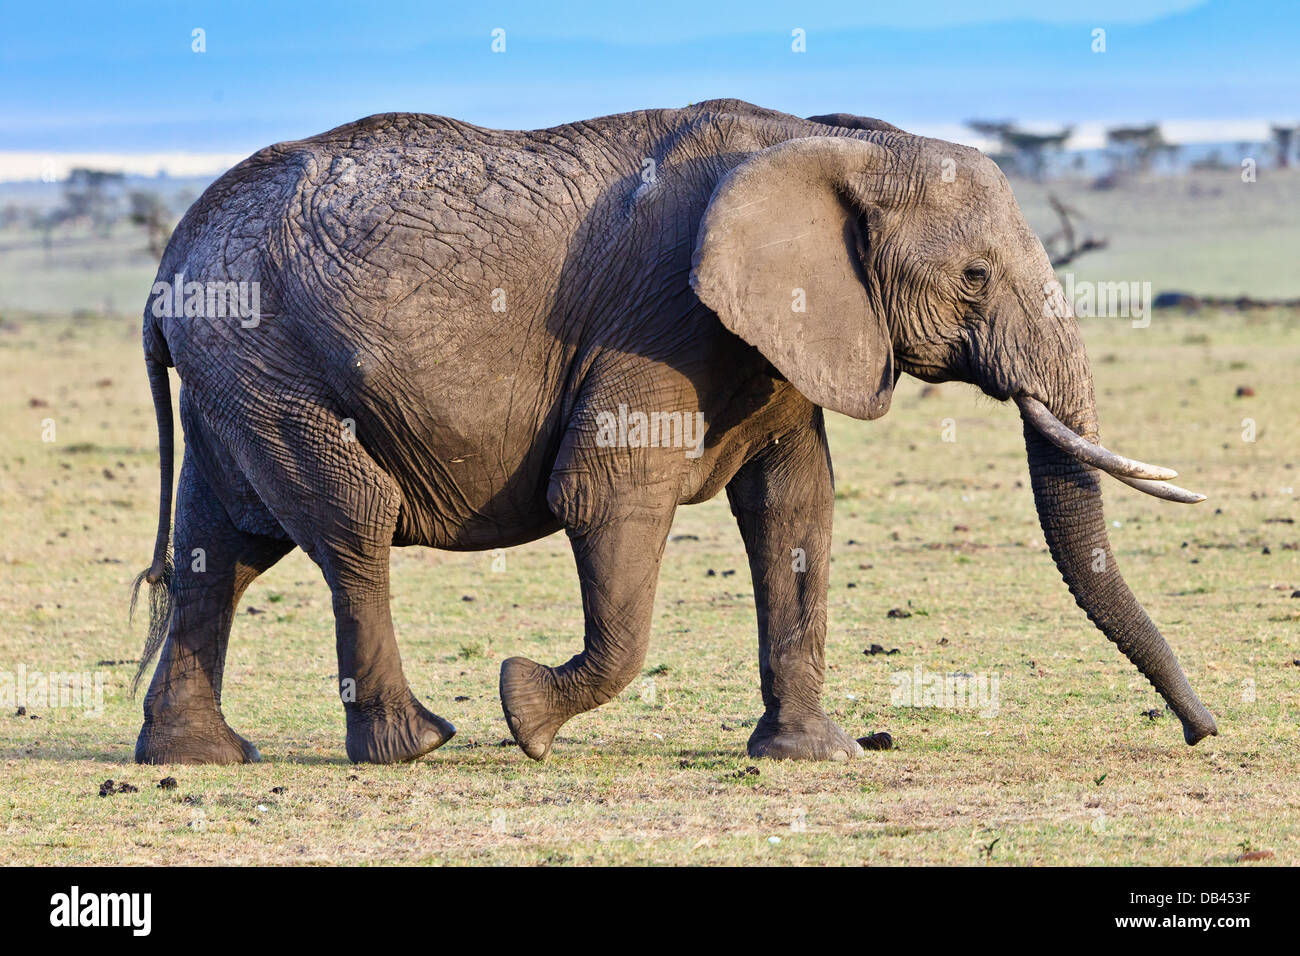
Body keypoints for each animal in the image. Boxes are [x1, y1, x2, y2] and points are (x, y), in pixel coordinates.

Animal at [129, 98, 1216, 765]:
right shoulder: (660, 320)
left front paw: (810, 755)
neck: (826, 138)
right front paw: (526, 713)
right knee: (352, 519)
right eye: (976, 279)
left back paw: (200, 757)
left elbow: (795, 510)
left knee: (219, 548)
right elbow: (607, 495)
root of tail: (171, 259)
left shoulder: (779, 336)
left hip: (236, 375)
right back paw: (418, 744)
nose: (1204, 731)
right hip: (266, 357)